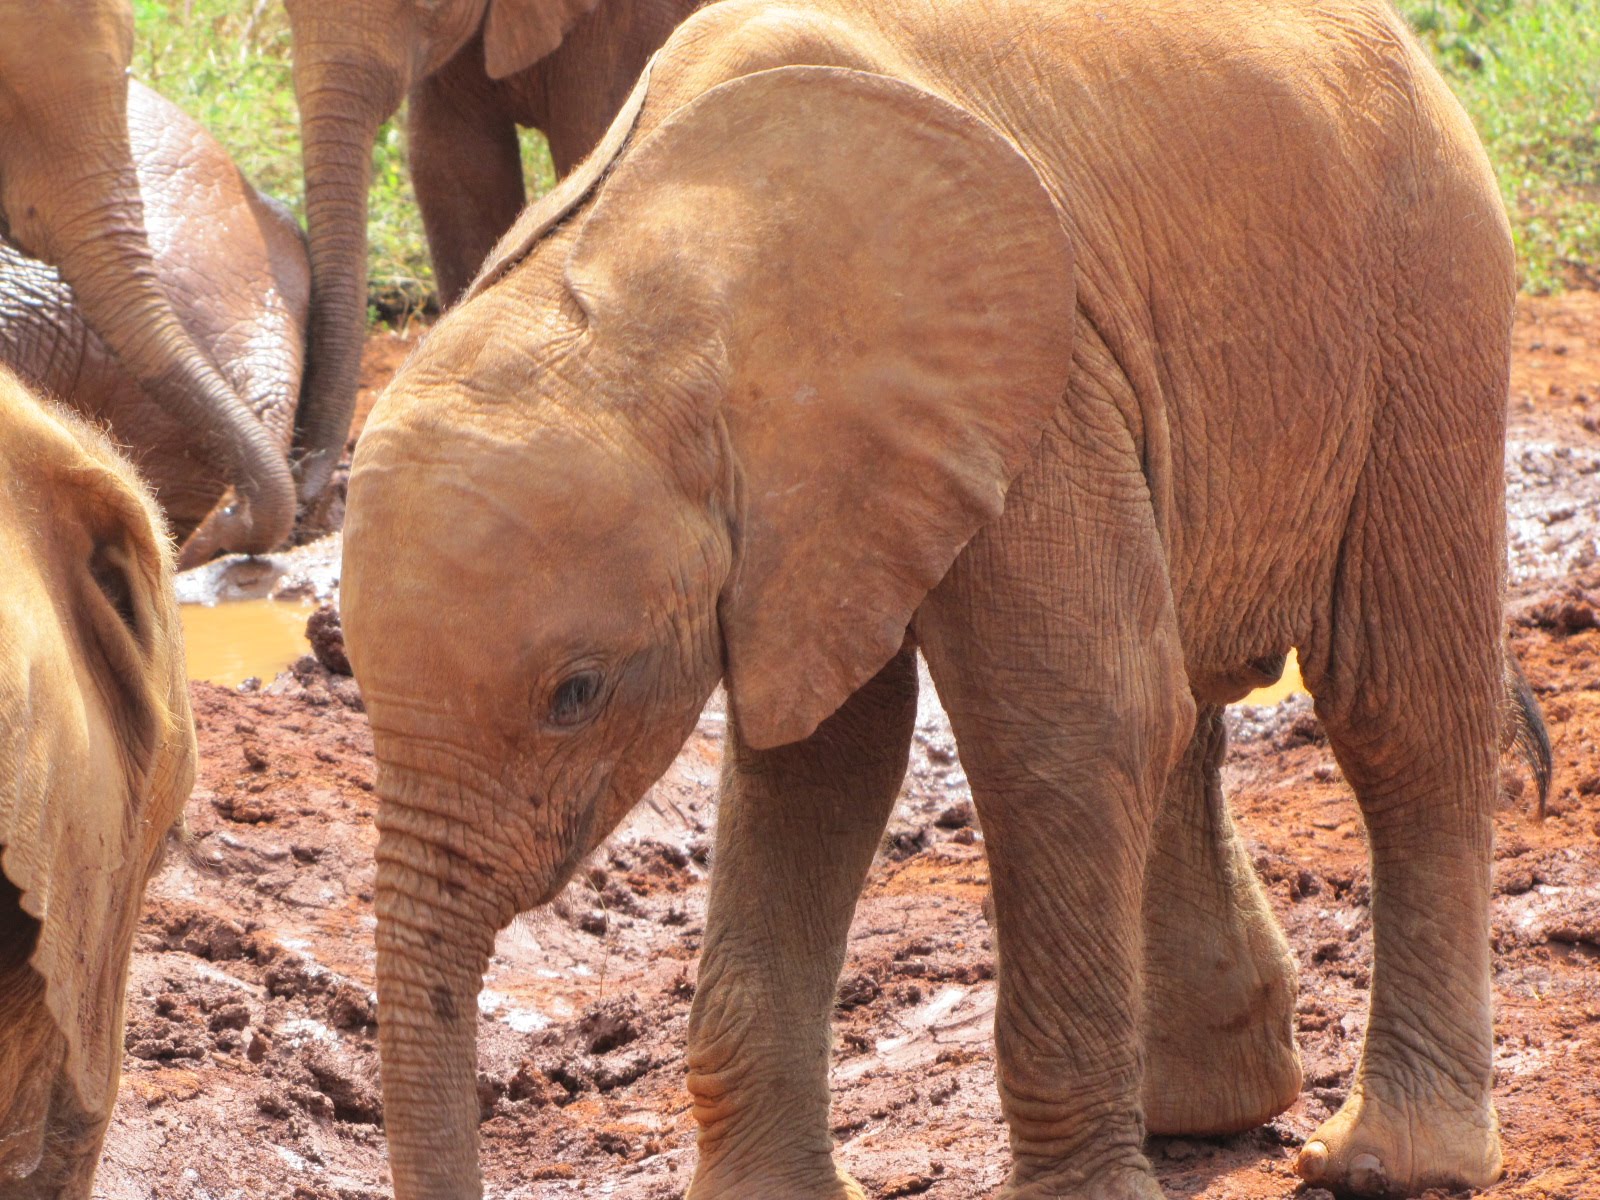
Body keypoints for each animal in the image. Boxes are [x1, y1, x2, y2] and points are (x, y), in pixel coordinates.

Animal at [340, 1, 1548, 1197]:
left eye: (576, 694)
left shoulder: (1034, 380)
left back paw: (1385, 1163)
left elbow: (1069, 723)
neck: (648, 282)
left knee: (1396, 706)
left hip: (1432, 289)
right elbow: (825, 764)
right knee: (1185, 714)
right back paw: (1206, 1114)